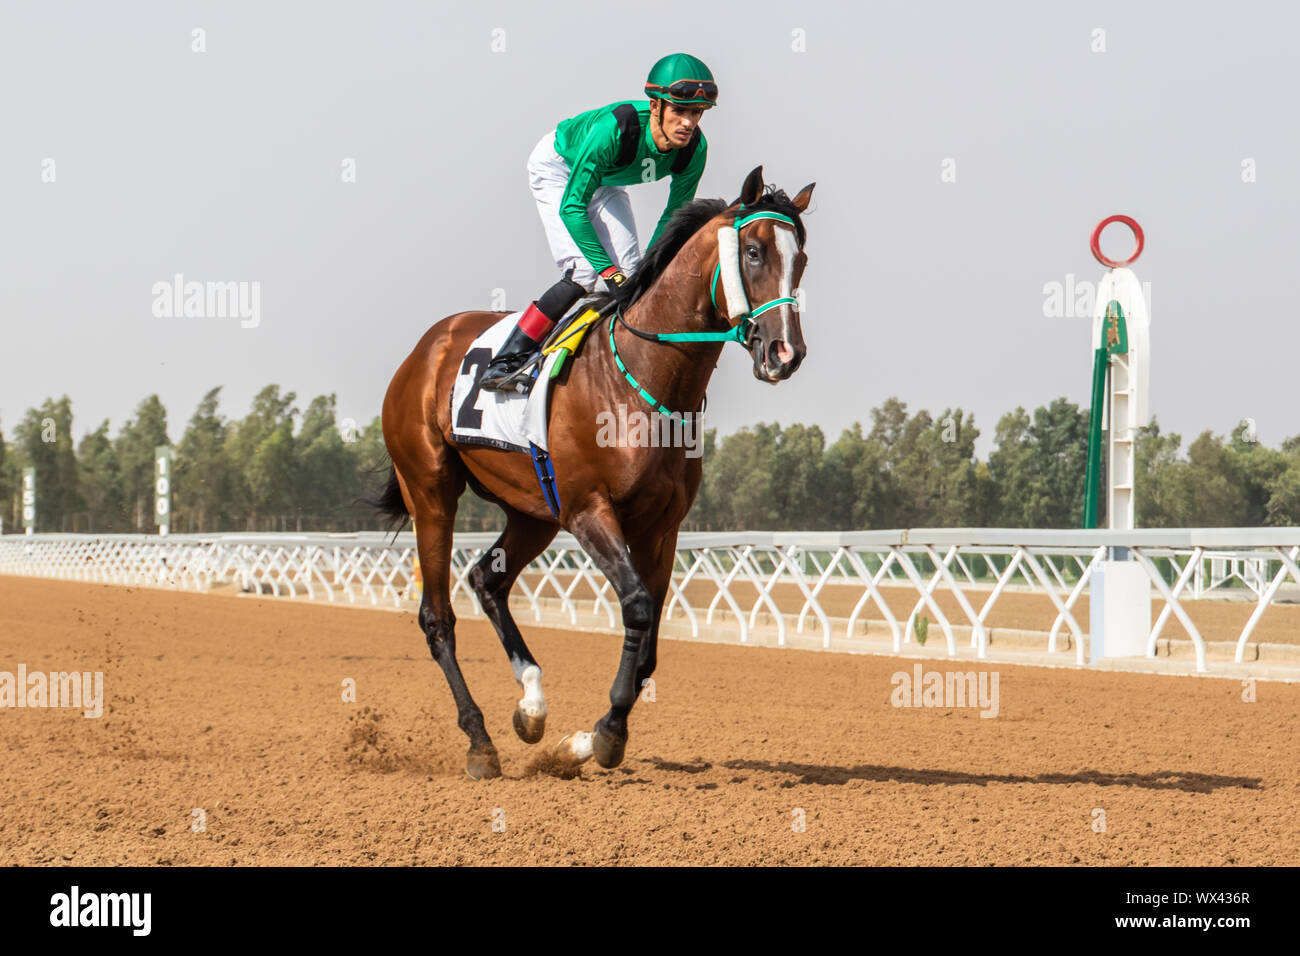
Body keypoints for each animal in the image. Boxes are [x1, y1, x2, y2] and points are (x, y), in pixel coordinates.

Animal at [370, 166, 813, 779]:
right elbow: (638, 608)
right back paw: (479, 741)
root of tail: (423, 350)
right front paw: (602, 736)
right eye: (752, 252)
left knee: (487, 580)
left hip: (532, 511)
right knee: (437, 617)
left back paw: (531, 708)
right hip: (432, 492)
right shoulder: (589, 510)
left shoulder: (660, 527)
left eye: (803, 259)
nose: (784, 353)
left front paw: (583, 740)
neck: (641, 381)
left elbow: (650, 644)